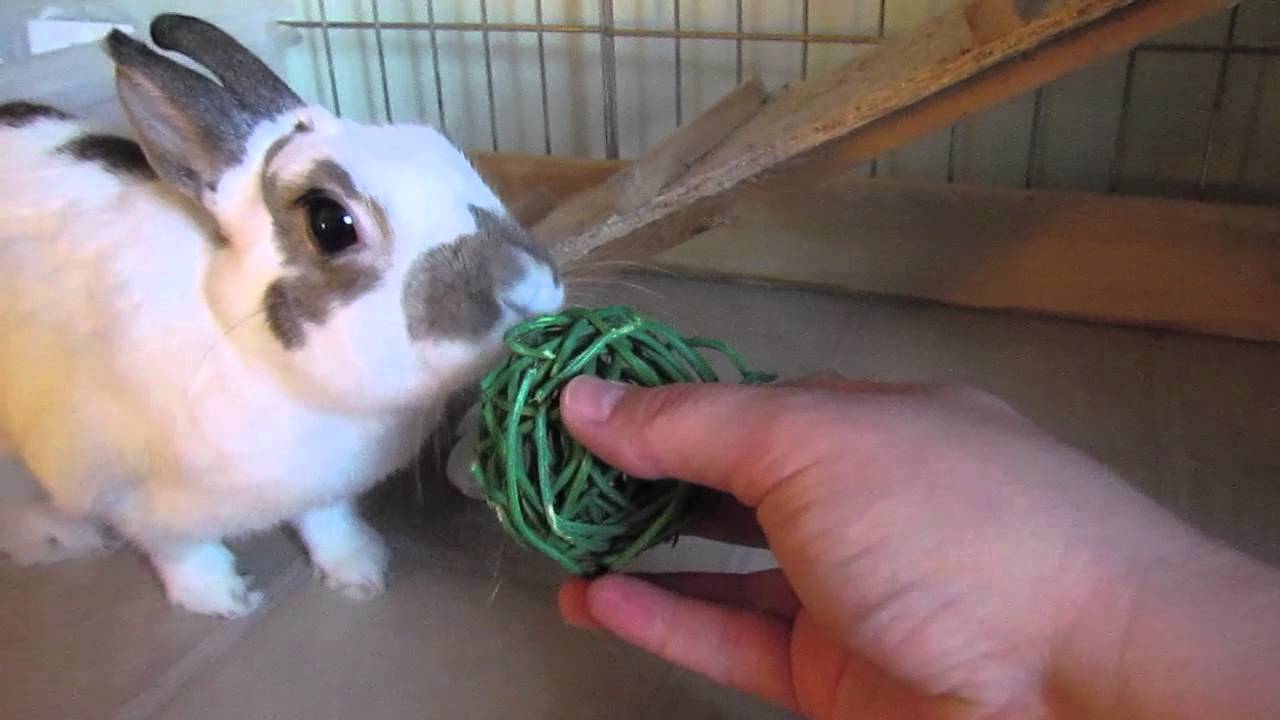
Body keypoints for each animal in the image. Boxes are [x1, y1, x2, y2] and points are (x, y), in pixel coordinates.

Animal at [0, 14, 563, 617]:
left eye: (440, 145)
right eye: (331, 224)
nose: (527, 287)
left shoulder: (321, 487)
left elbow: (325, 521)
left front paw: (360, 572)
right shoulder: (129, 495)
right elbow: (180, 549)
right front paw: (224, 599)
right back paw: (58, 537)